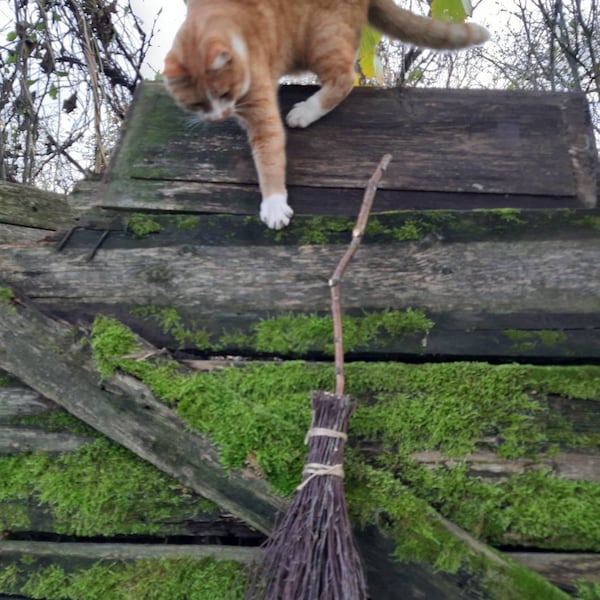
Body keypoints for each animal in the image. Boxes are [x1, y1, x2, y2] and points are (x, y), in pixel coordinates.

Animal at [163, 0, 488, 230]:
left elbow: (269, 156)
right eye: (197, 104)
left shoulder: (261, 110)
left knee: (344, 79)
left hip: (323, 39)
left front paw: (273, 204)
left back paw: (306, 111)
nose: (219, 117)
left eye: (223, 94)